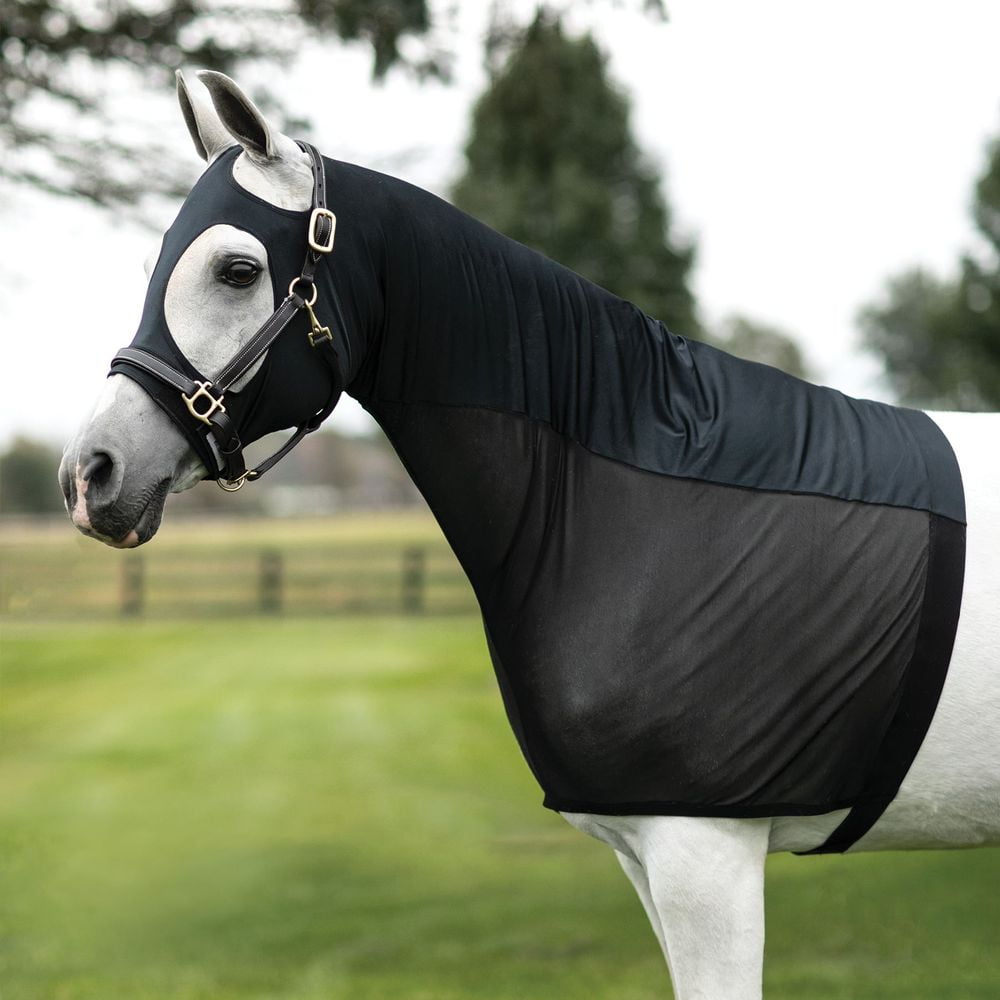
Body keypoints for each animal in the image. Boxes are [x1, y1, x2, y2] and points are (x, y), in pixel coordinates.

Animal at [59, 70, 1000, 999]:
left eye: (237, 268)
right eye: (153, 266)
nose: (90, 473)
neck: (629, 501)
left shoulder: (706, 853)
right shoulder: (646, 855)